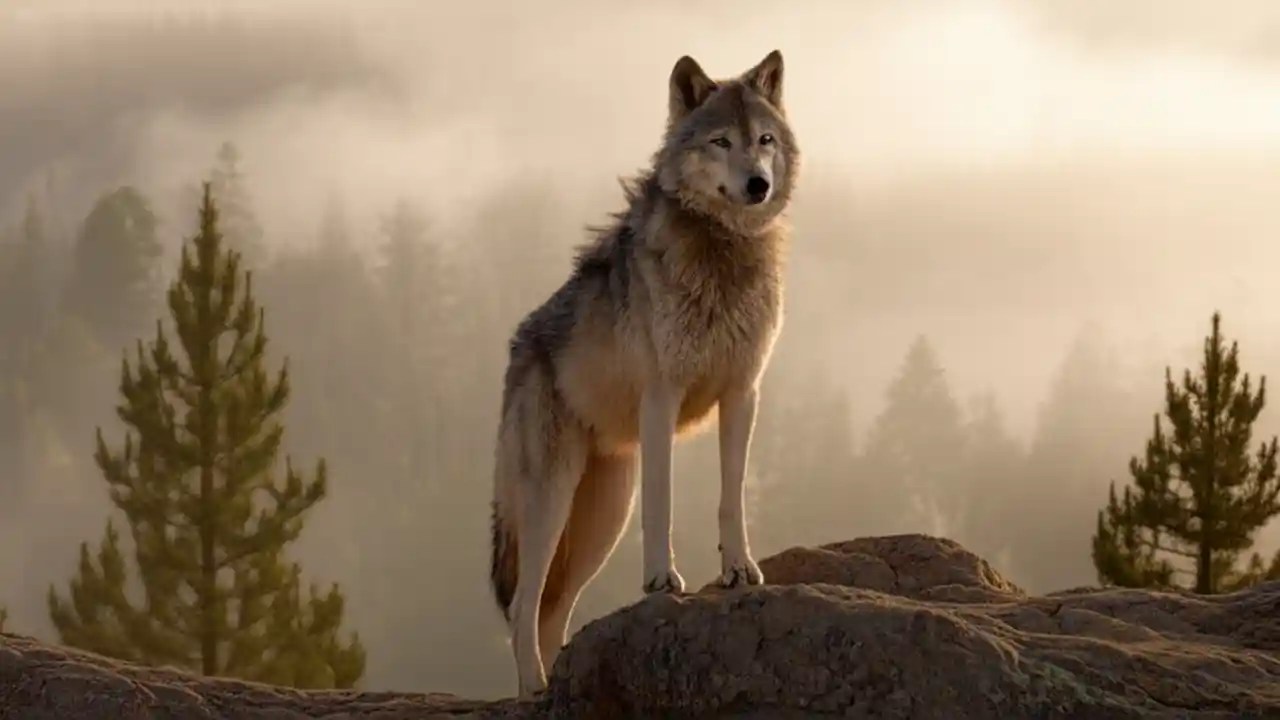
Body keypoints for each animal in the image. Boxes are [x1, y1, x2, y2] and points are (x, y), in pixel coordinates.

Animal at [488, 49, 798, 697]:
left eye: (764, 140)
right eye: (721, 141)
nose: (758, 184)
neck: (722, 252)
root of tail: (517, 351)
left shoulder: (743, 393)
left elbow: (731, 498)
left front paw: (740, 569)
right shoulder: (662, 398)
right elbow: (666, 501)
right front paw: (662, 580)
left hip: (600, 521)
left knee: (553, 613)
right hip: (552, 504)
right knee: (523, 606)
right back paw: (534, 689)